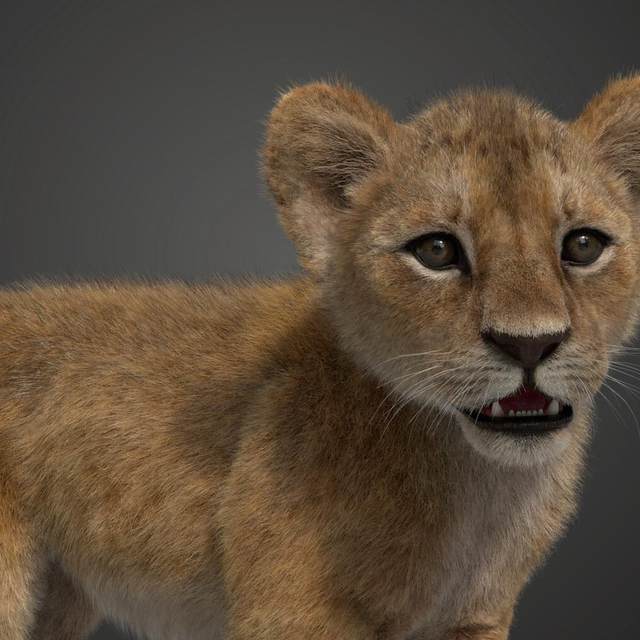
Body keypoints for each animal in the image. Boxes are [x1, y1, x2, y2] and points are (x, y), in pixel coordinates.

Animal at [1, 75, 639, 640]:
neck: (481, 486)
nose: (529, 343)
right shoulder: (293, 616)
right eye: (436, 250)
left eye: (583, 244)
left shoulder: (473, 618)